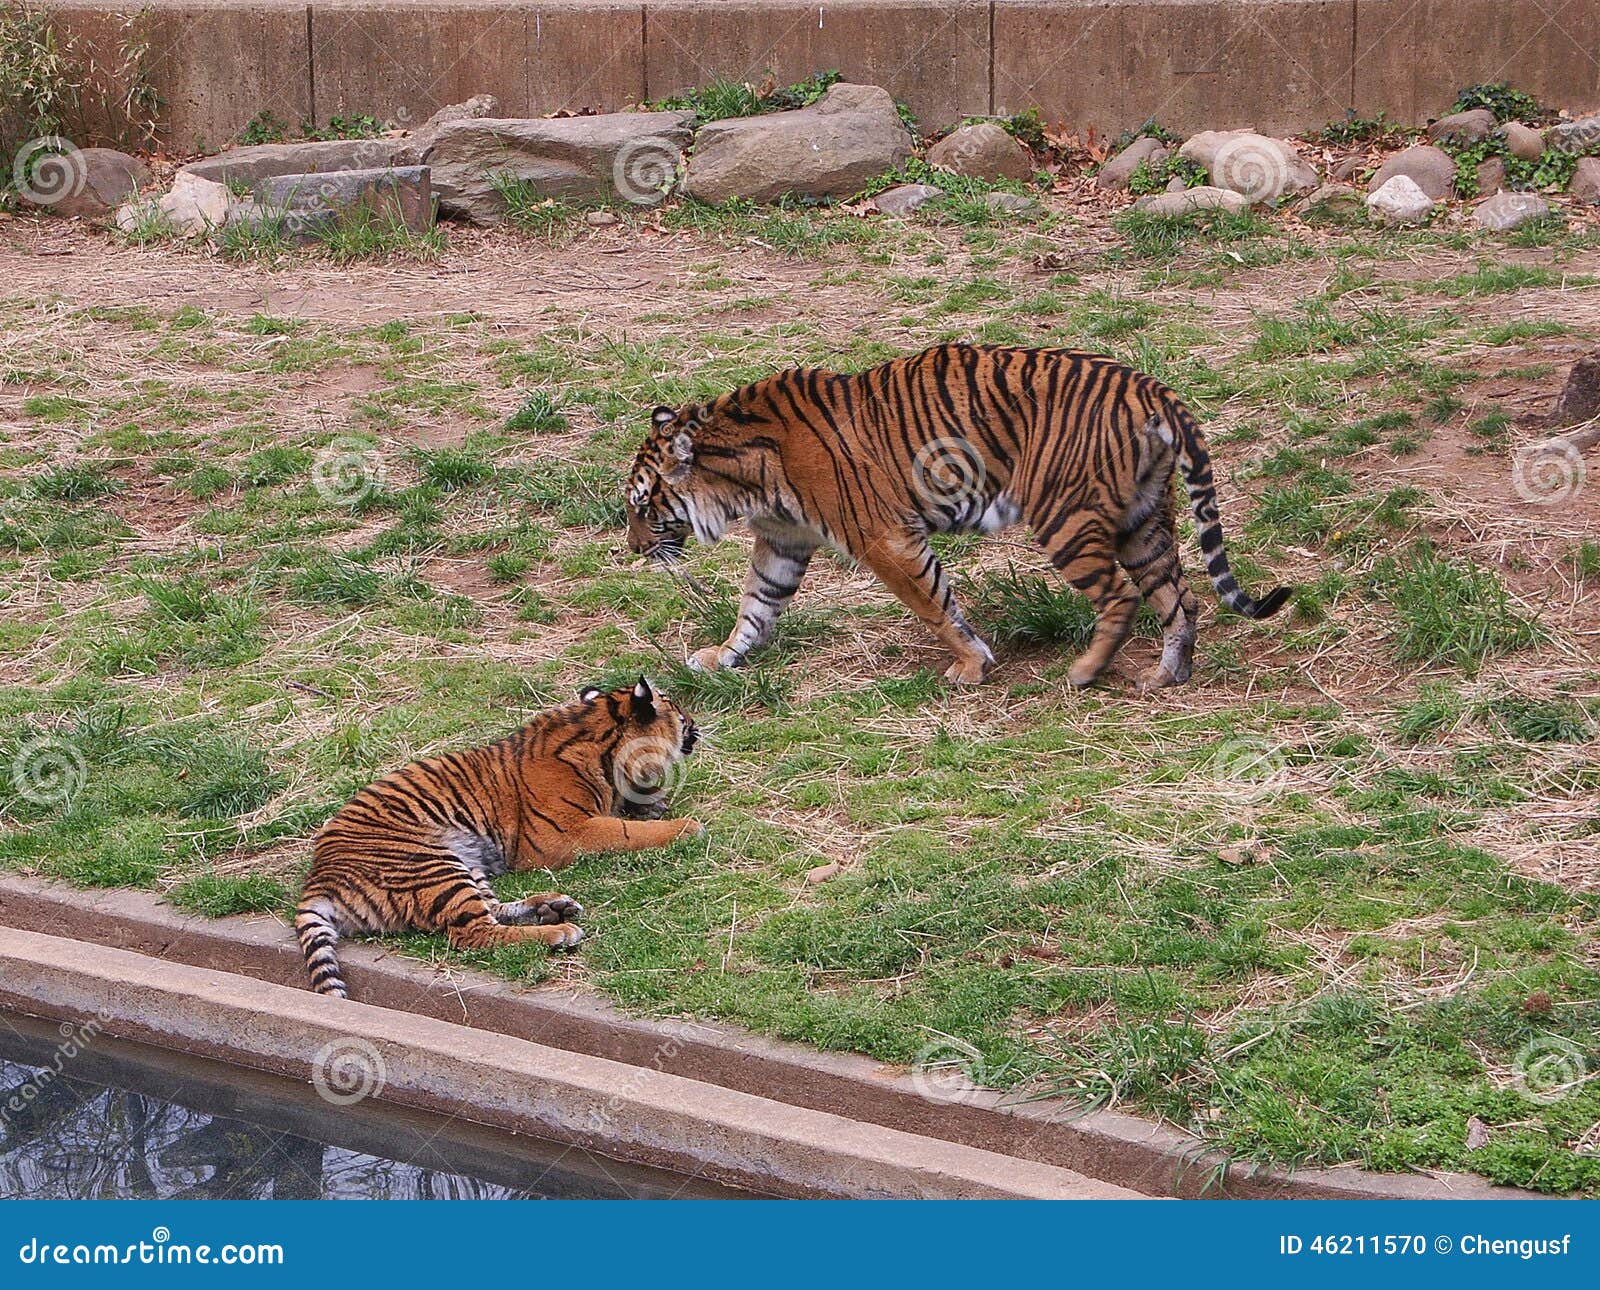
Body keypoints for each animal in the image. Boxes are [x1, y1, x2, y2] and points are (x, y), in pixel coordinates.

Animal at [294, 678, 700, 998]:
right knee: (474, 932)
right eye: (677, 709)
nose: (696, 725)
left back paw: (551, 907)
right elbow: (624, 832)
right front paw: (686, 826)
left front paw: (654, 806)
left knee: (492, 909)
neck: (605, 748)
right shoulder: (562, 834)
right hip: (430, 863)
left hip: (464, 860)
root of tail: (319, 877)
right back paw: (559, 931)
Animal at [625, 343, 1290, 693]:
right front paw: (723, 659)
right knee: (1181, 597)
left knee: (1122, 597)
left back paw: (1083, 672)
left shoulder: (883, 539)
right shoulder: (783, 542)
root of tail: (1149, 386)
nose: (632, 548)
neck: (742, 480)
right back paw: (1166, 676)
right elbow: (756, 605)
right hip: (1143, 518)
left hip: (1065, 516)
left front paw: (971, 665)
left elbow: (934, 605)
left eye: (641, 505)